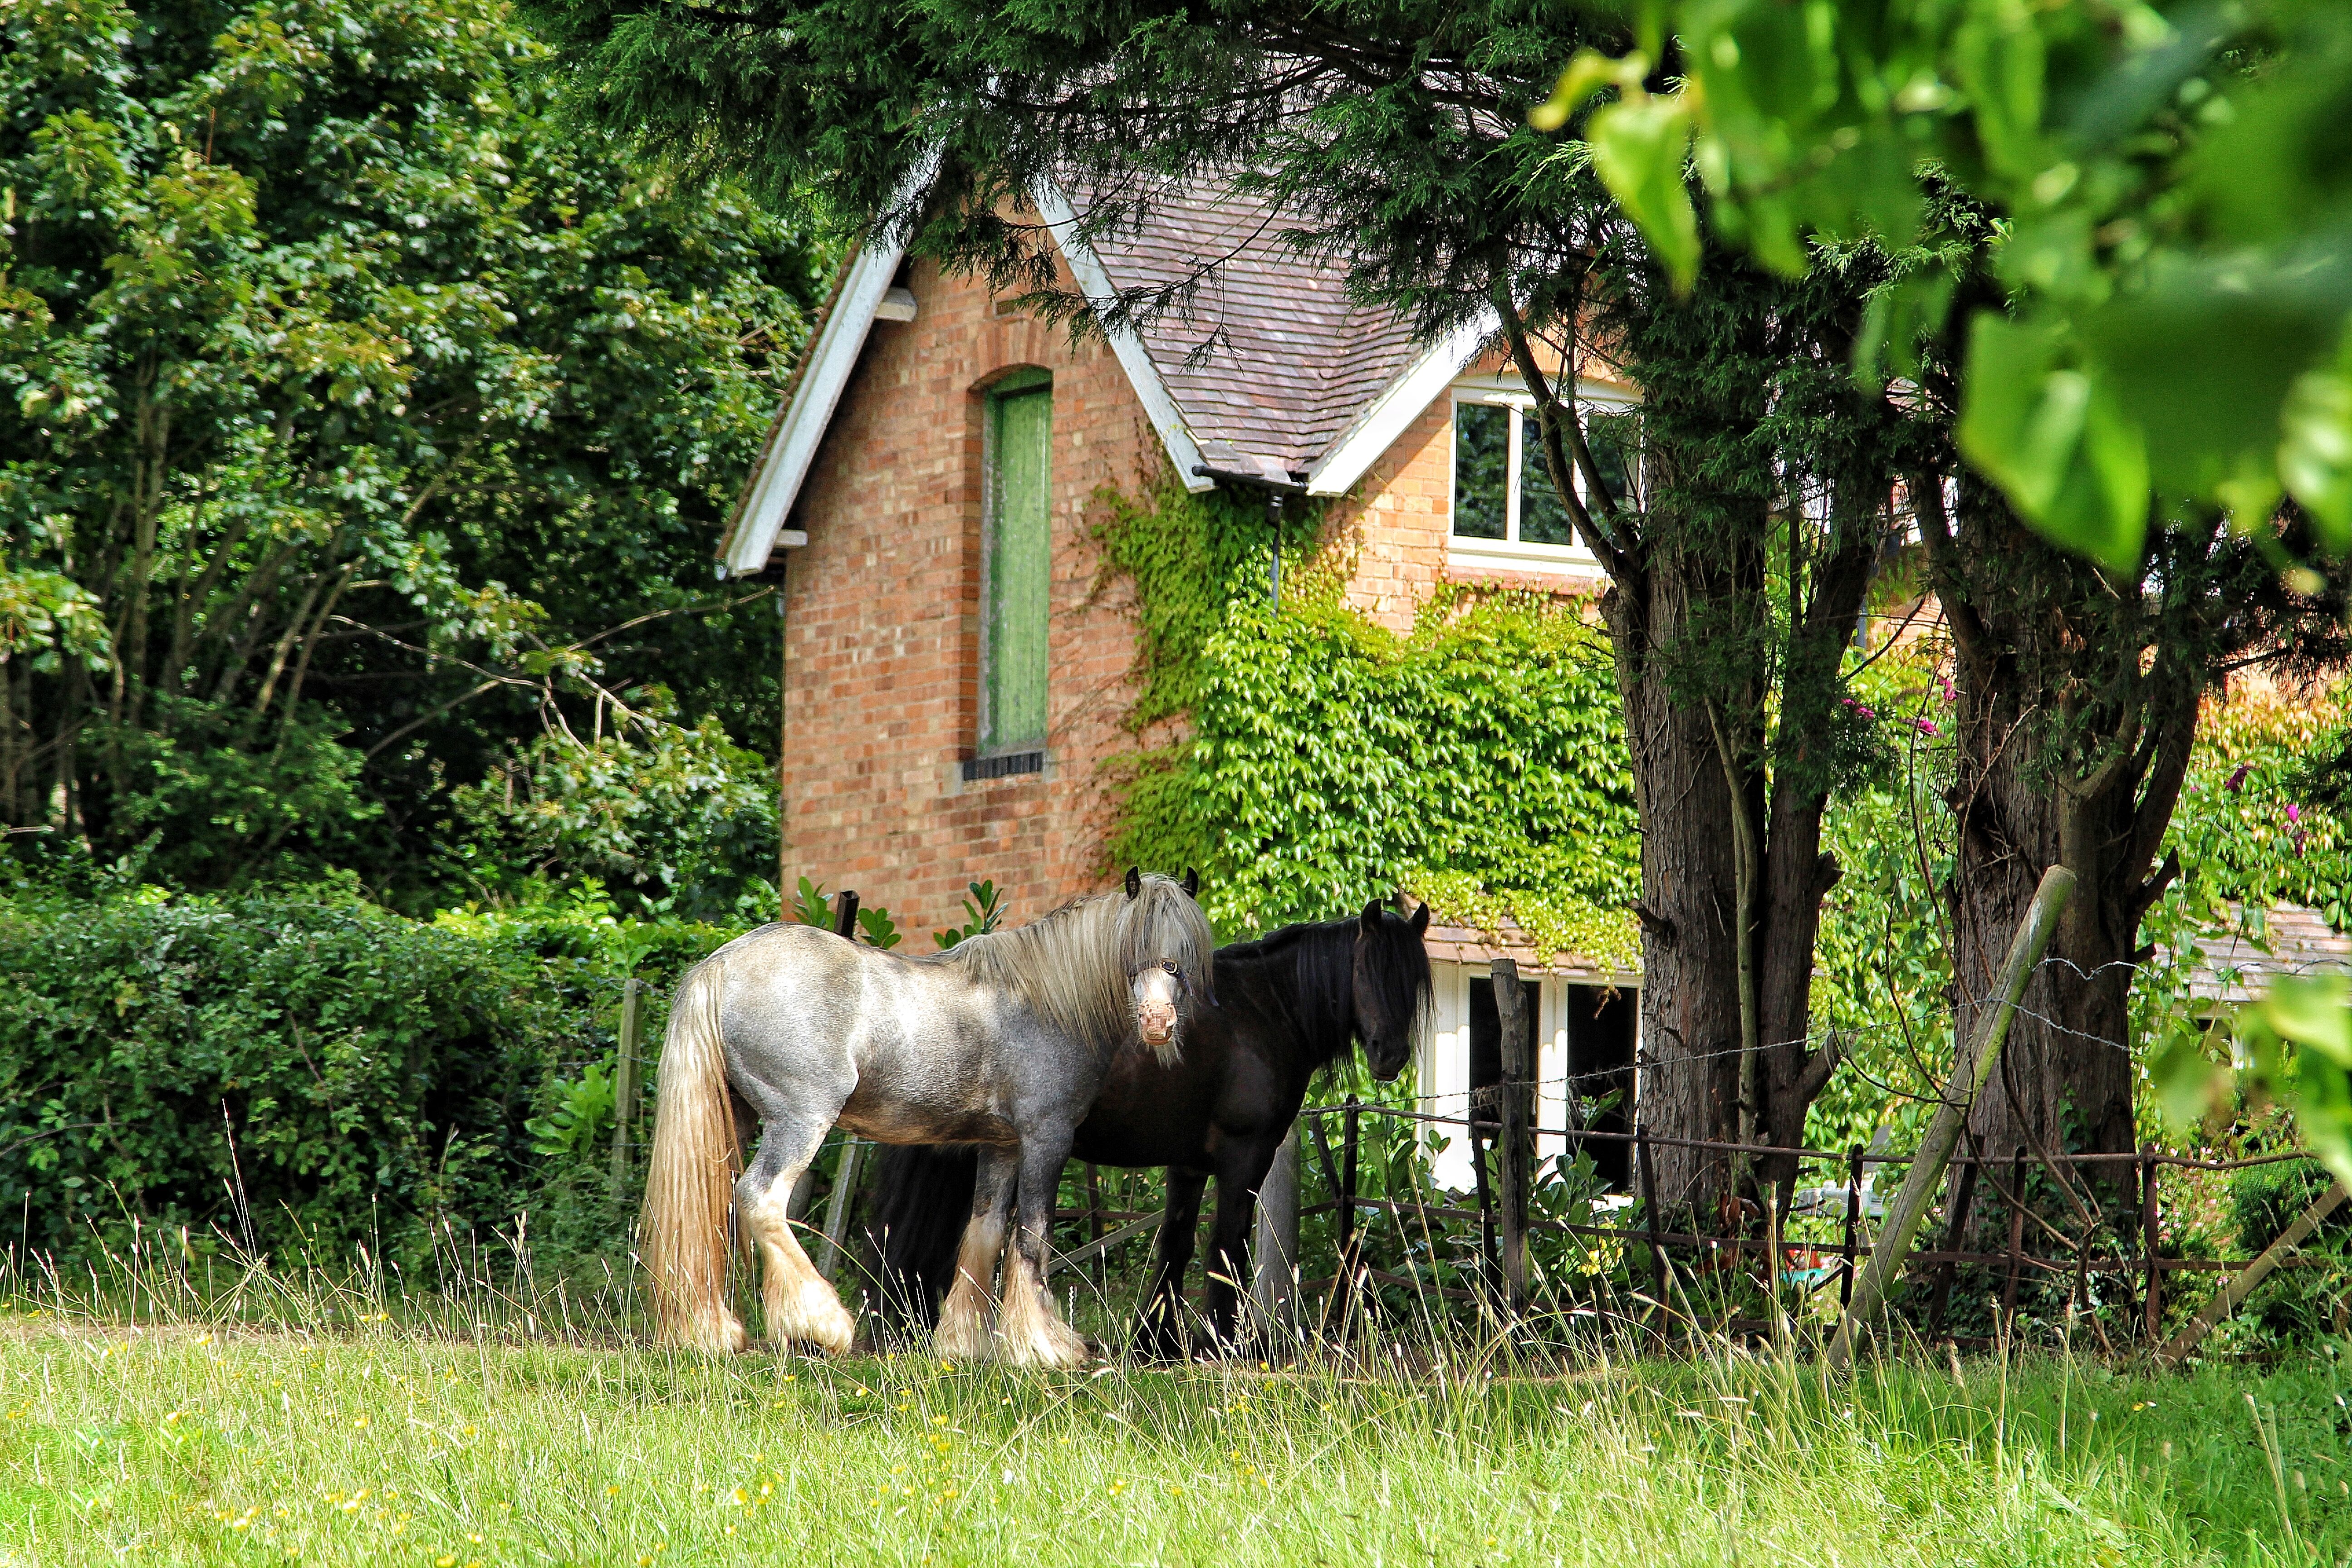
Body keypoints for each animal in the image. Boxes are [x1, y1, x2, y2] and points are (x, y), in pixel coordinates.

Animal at [640, 867, 1215, 1367]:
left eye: (1184, 955)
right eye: (1135, 945)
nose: (1158, 1022)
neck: (1045, 1001)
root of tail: (722, 965)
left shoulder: (1002, 1147)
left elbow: (986, 1233)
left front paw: (967, 1343)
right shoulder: (1046, 1139)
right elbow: (1032, 1237)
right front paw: (1043, 1346)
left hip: (733, 1124)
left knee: (716, 1208)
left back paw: (711, 1331)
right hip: (800, 1120)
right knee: (759, 1200)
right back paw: (822, 1323)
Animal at [870, 899, 1430, 1355]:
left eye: (1412, 981)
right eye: (1368, 971)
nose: (1391, 1057)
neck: (1260, 1013)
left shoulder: (1189, 1165)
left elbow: (1176, 1246)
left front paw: (1156, 1341)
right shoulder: (1245, 1158)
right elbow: (1227, 1246)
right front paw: (1225, 1340)